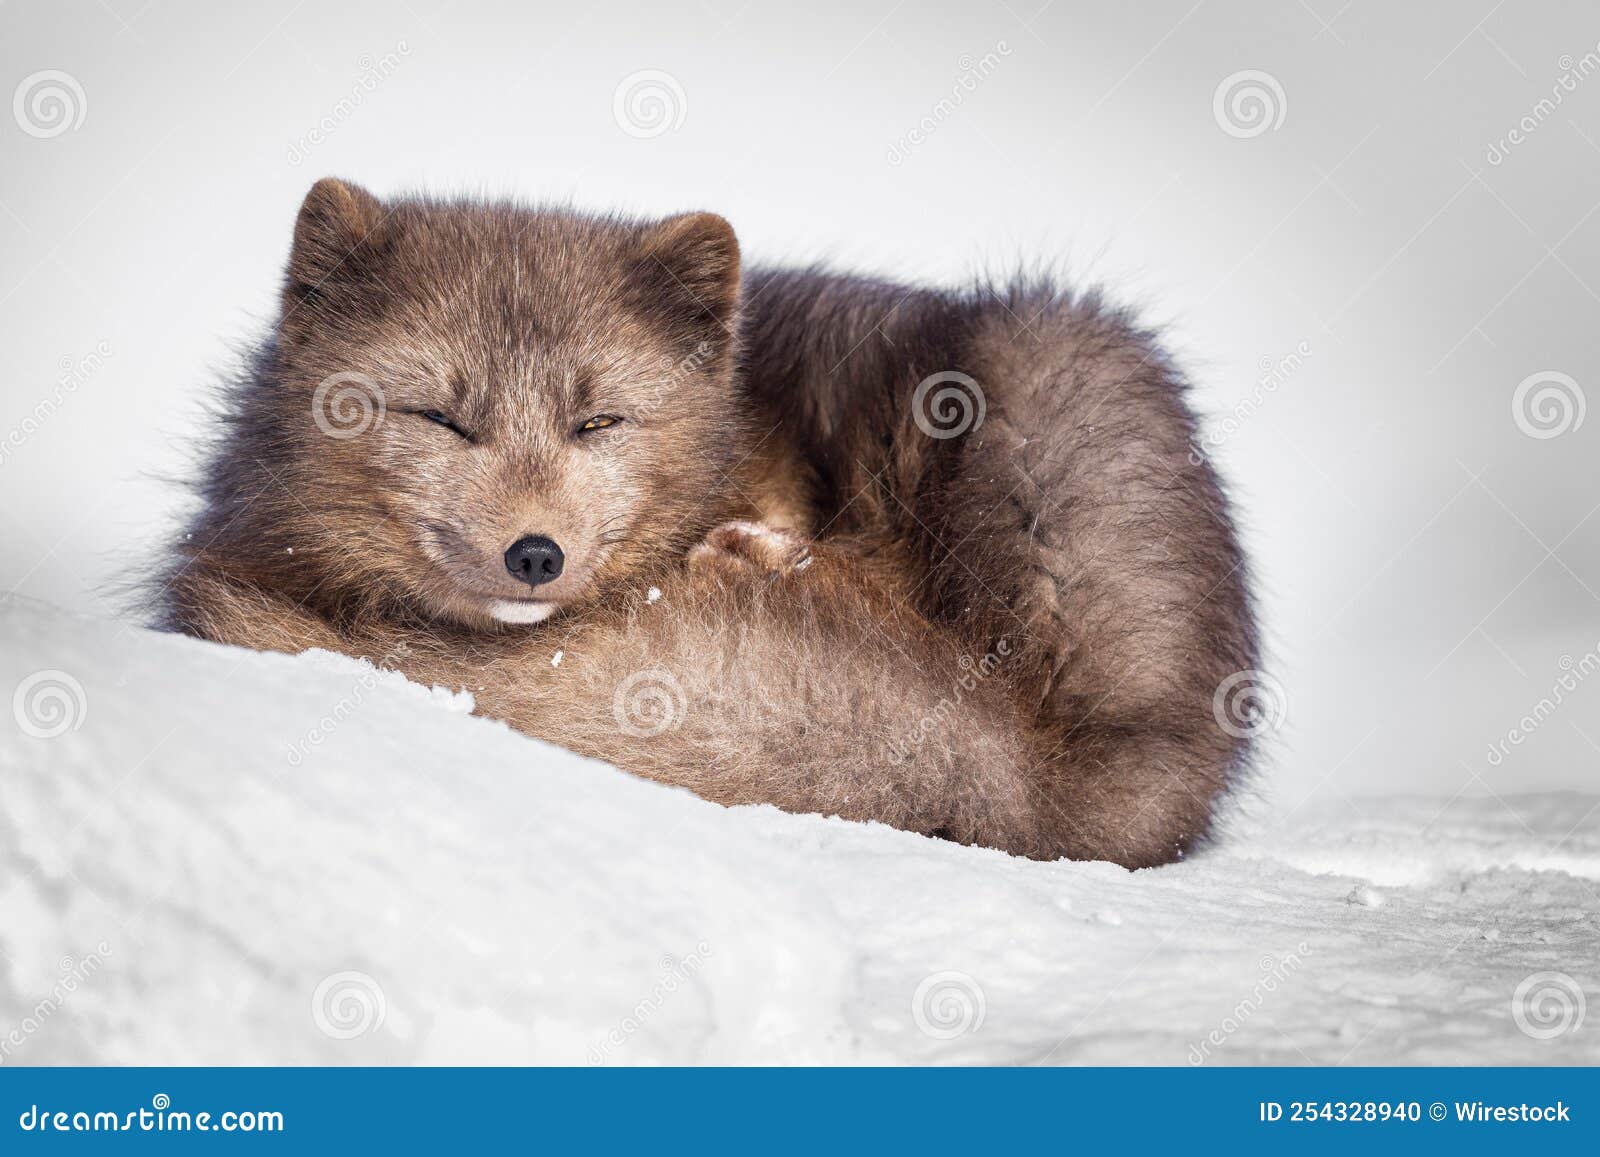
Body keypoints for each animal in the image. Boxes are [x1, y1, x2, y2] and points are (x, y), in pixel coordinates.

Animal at [156, 177, 1259, 868]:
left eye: (598, 420)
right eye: (441, 416)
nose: (534, 553)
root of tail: (1051, 780)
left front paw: (759, 549)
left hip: (1051, 386)